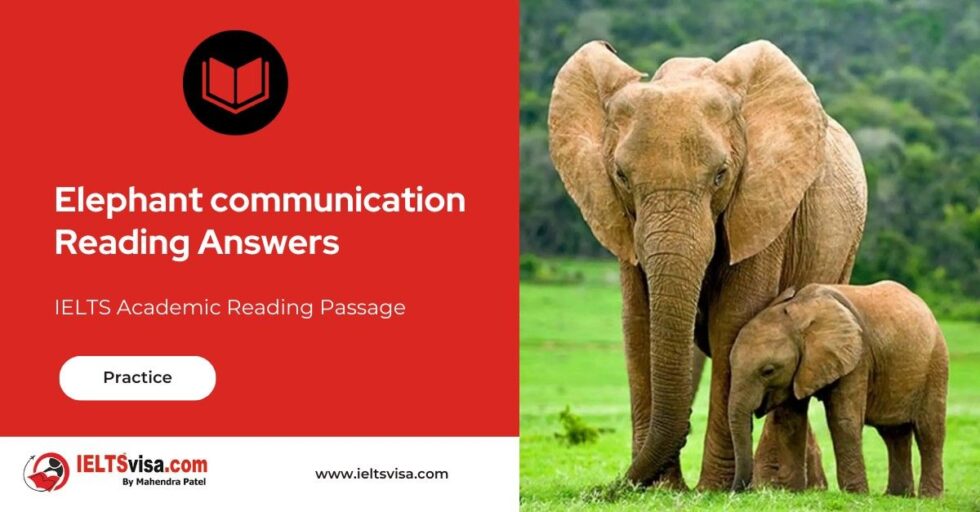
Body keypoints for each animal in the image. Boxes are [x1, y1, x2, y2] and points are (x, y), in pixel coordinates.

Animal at [547, 39, 867, 490]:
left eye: (720, 175)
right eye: (621, 176)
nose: (610, 488)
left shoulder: (762, 204)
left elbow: (733, 321)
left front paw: (713, 490)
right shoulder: (621, 221)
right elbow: (639, 321)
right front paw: (661, 489)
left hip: (846, 244)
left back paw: (778, 485)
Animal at [728, 282, 948, 497]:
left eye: (768, 371)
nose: (736, 492)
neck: (800, 311)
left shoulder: (857, 357)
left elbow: (843, 420)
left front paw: (856, 495)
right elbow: (790, 421)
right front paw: (792, 492)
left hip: (936, 362)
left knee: (929, 430)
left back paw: (930, 497)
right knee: (893, 433)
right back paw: (896, 496)